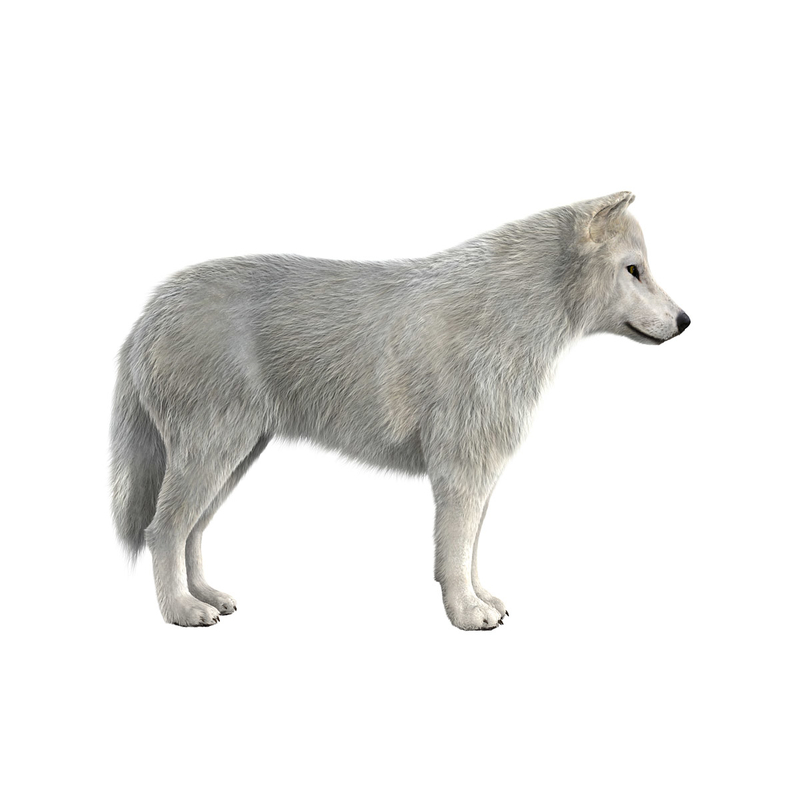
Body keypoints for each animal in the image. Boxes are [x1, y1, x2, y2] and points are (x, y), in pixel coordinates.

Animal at [110, 191, 690, 629]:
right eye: (634, 270)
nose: (685, 320)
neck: (512, 313)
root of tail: (149, 312)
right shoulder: (461, 467)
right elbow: (455, 549)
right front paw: (466, 614)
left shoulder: (482, 469)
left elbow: (471, 549)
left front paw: (481, 599)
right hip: (213, 449)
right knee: (164, 530)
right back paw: (182, 610)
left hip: (235, 454)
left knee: (192, 530)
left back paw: (206, 596)